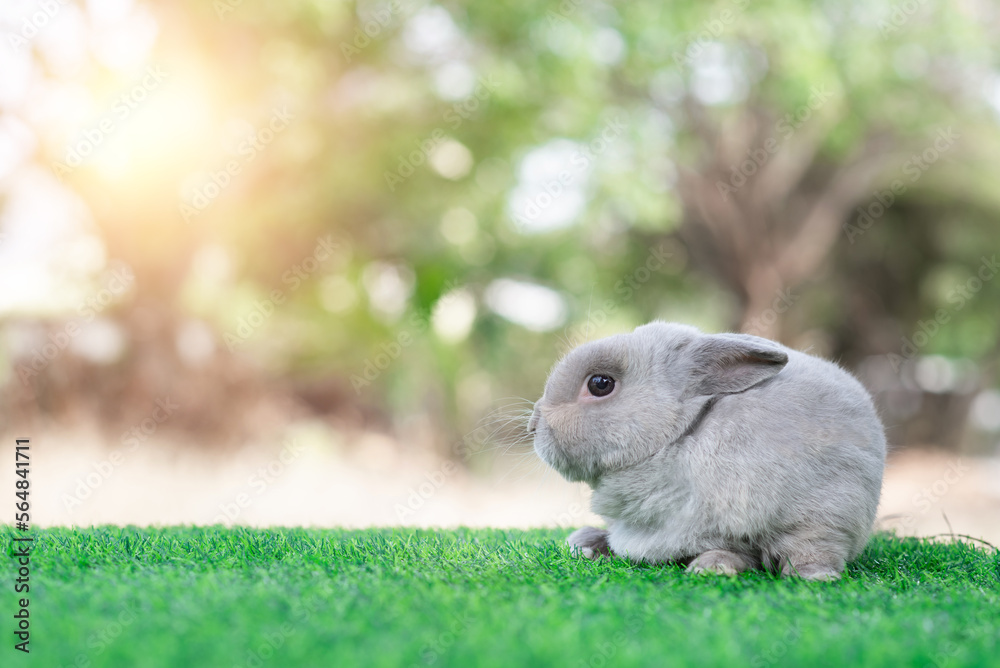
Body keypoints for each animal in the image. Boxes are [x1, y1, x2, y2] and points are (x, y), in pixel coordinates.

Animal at [528, 321, 886, 580]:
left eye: (600, 384)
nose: (533, 423)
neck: (680, 437)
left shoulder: (820, 514)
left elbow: (808, 548)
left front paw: (813, 577)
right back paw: (587, 541)